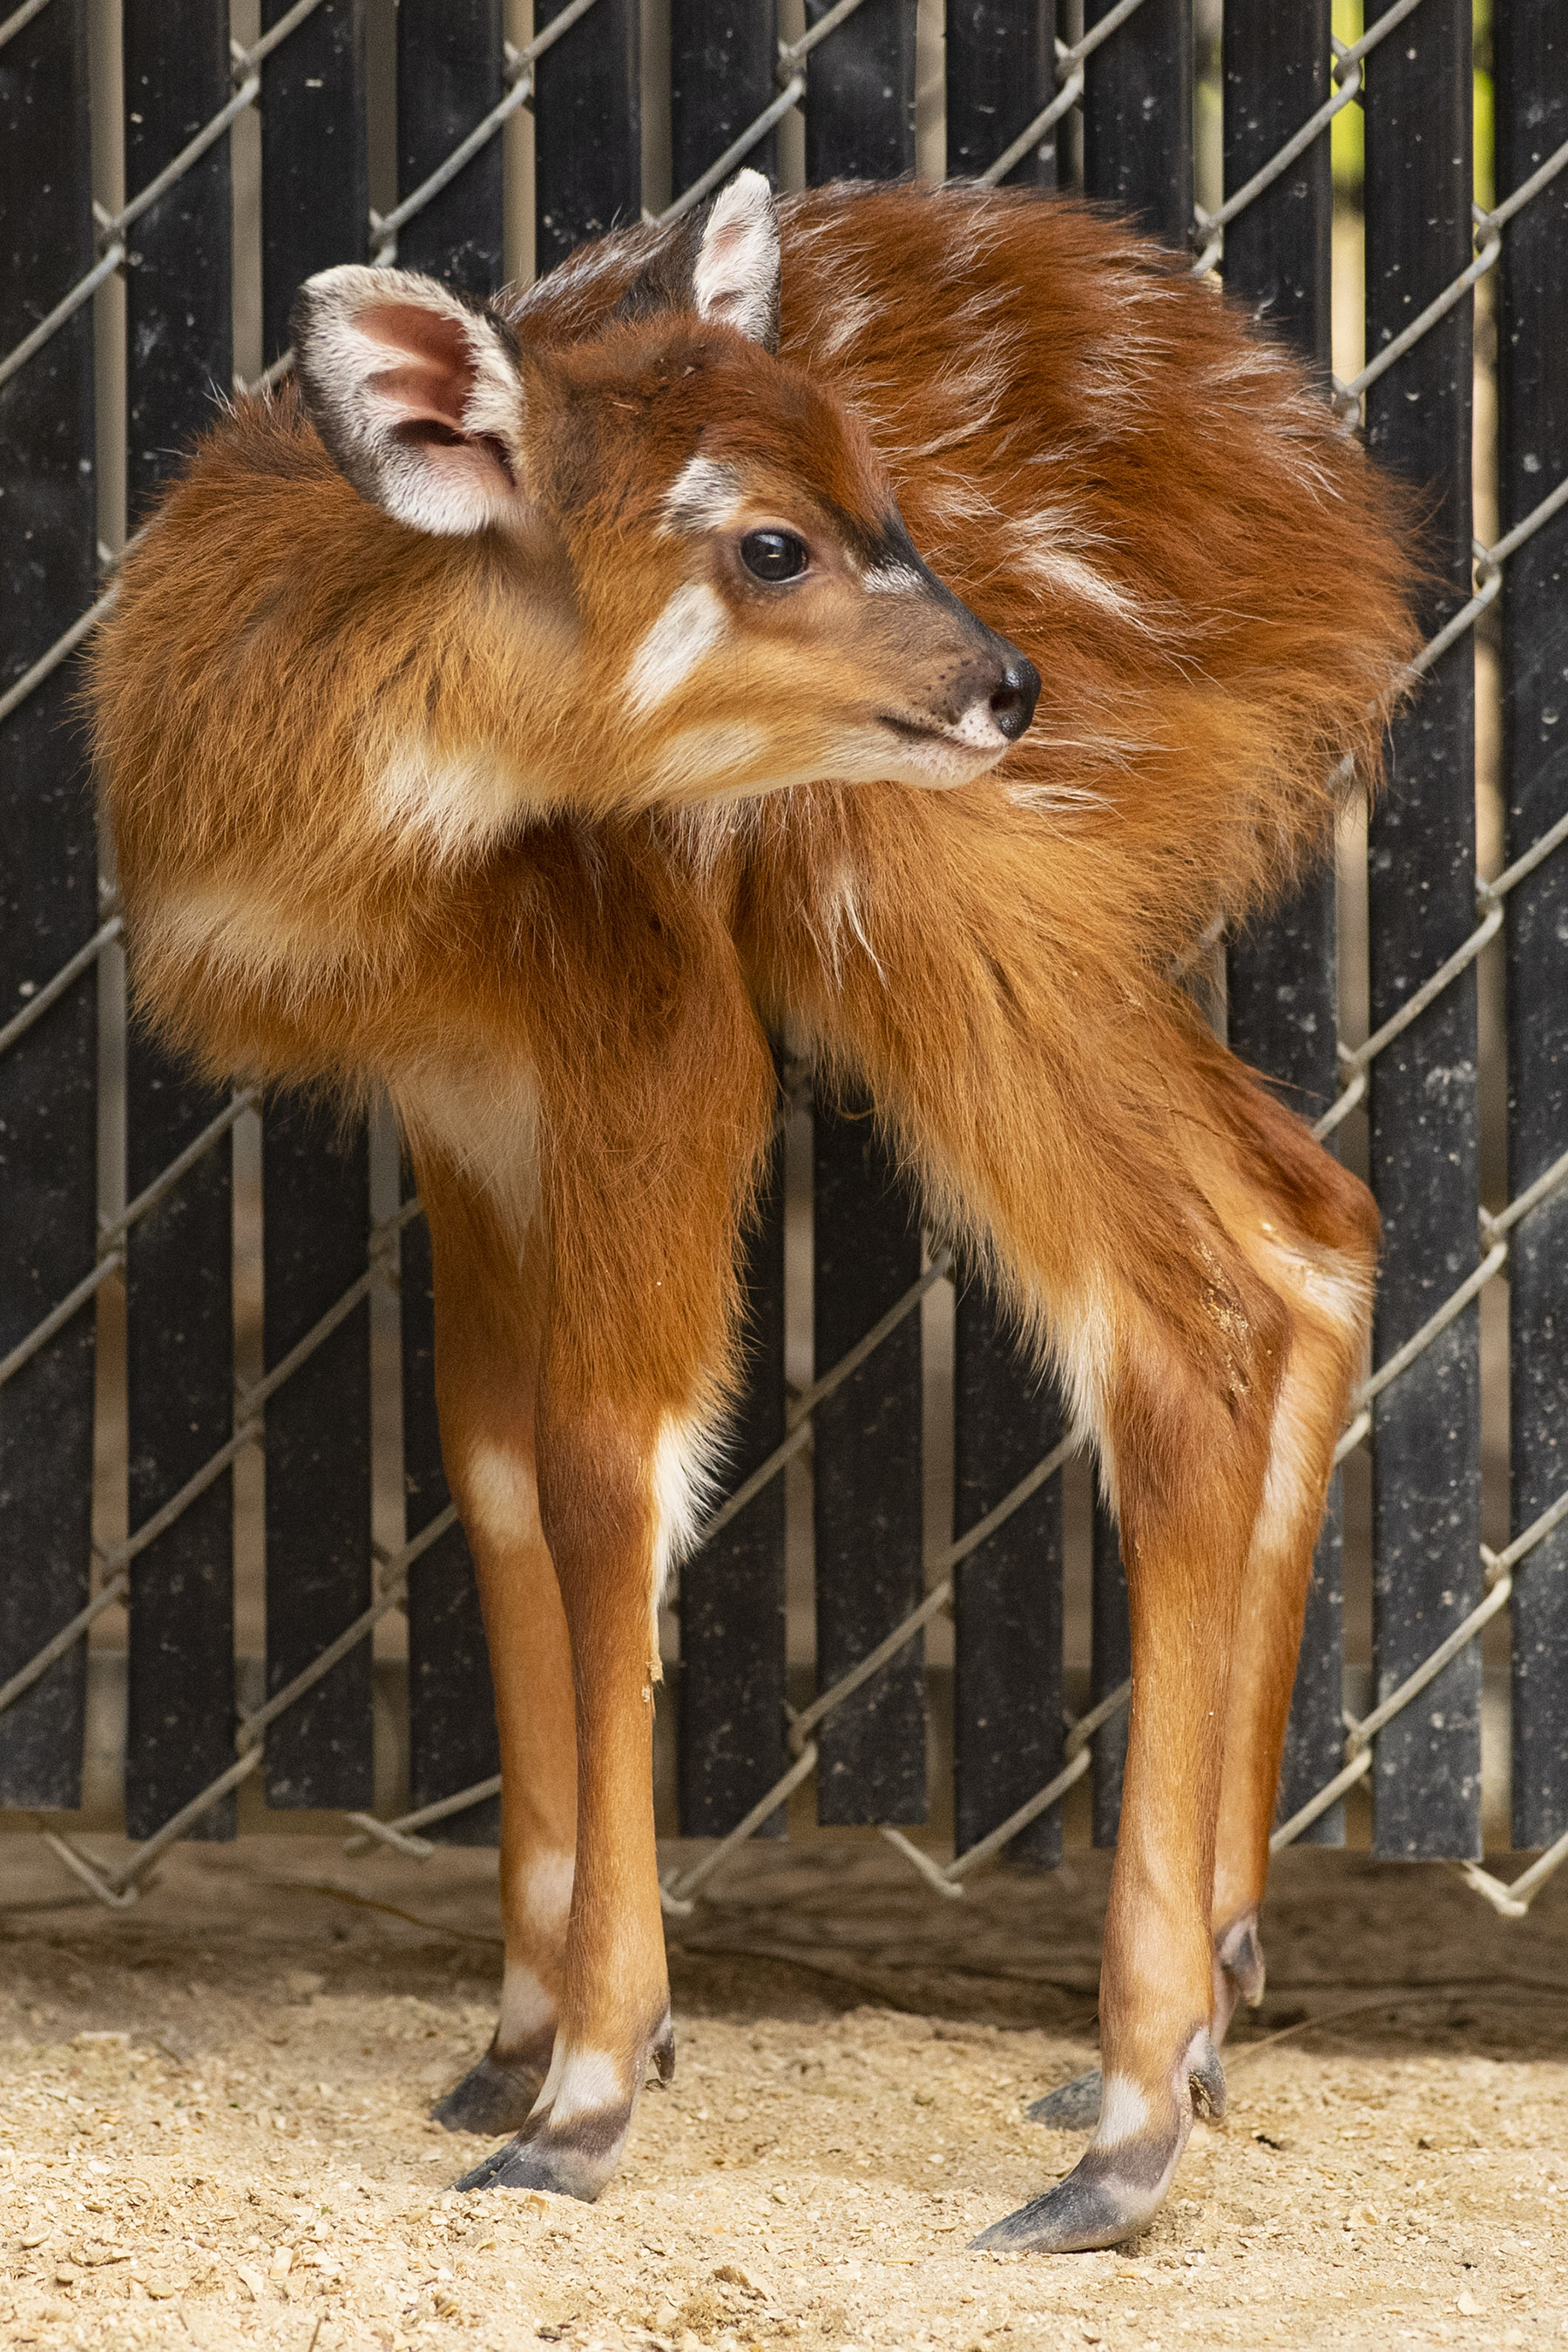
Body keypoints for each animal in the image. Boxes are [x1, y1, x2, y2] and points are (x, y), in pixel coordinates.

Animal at [90, 170, 1416, 2253]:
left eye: (878, 495)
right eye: (772, 539)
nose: (1003, 679)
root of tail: (1357, 559)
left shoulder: (652, 1035)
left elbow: (607, 1465)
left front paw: (585, 2093)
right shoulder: (458, 1098)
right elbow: (490, 1465)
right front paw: (514, 2035)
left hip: (913, 877)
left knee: (1175, 1321)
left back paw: (1122, 2133)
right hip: (1057, 920)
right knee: (1306, 1221)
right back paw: (1201, 2023)